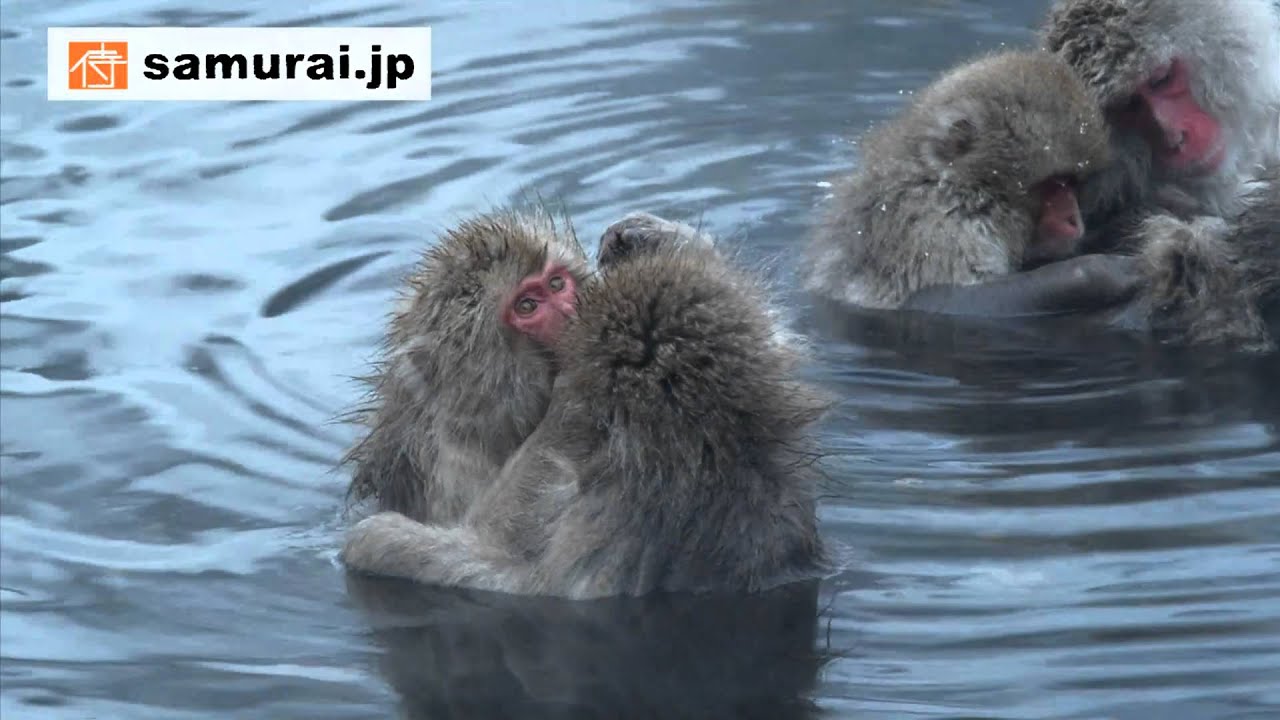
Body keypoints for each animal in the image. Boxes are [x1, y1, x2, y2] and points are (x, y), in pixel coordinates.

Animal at [803, 49, 1142, 318]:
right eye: (1051, 184)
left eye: (1070, 183)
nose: (1074, 220)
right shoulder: (932, 225)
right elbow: (947, 298)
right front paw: (1104, 271)